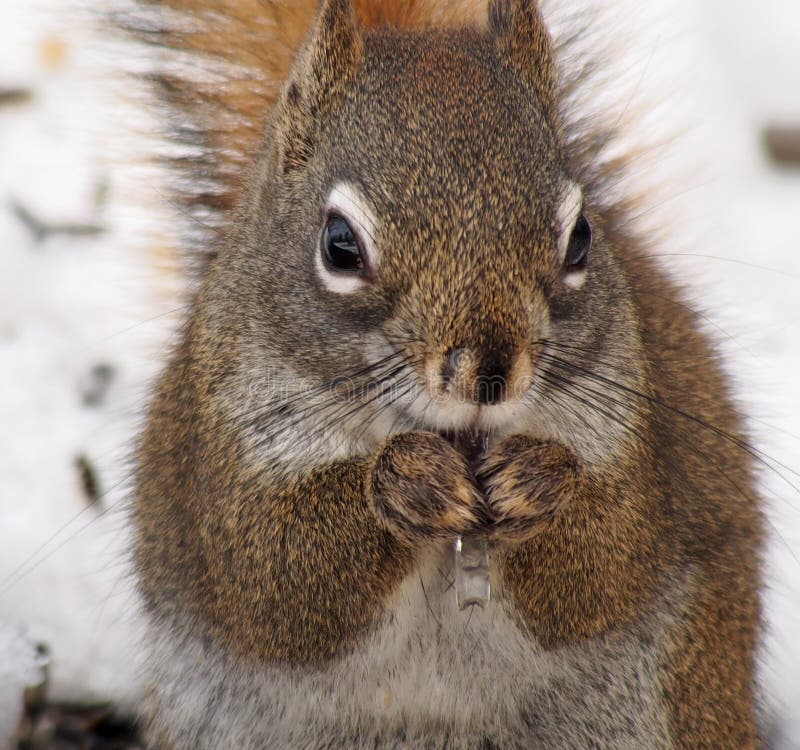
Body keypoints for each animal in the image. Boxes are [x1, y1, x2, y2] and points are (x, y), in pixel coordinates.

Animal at [126, 0, 765, 747]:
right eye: (339, 246)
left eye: (581, 238)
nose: (488, 372)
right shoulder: (226, 449)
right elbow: (276, 583)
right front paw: (407, 481)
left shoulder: (633, 435)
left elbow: (608, 566)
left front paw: (537, 478)